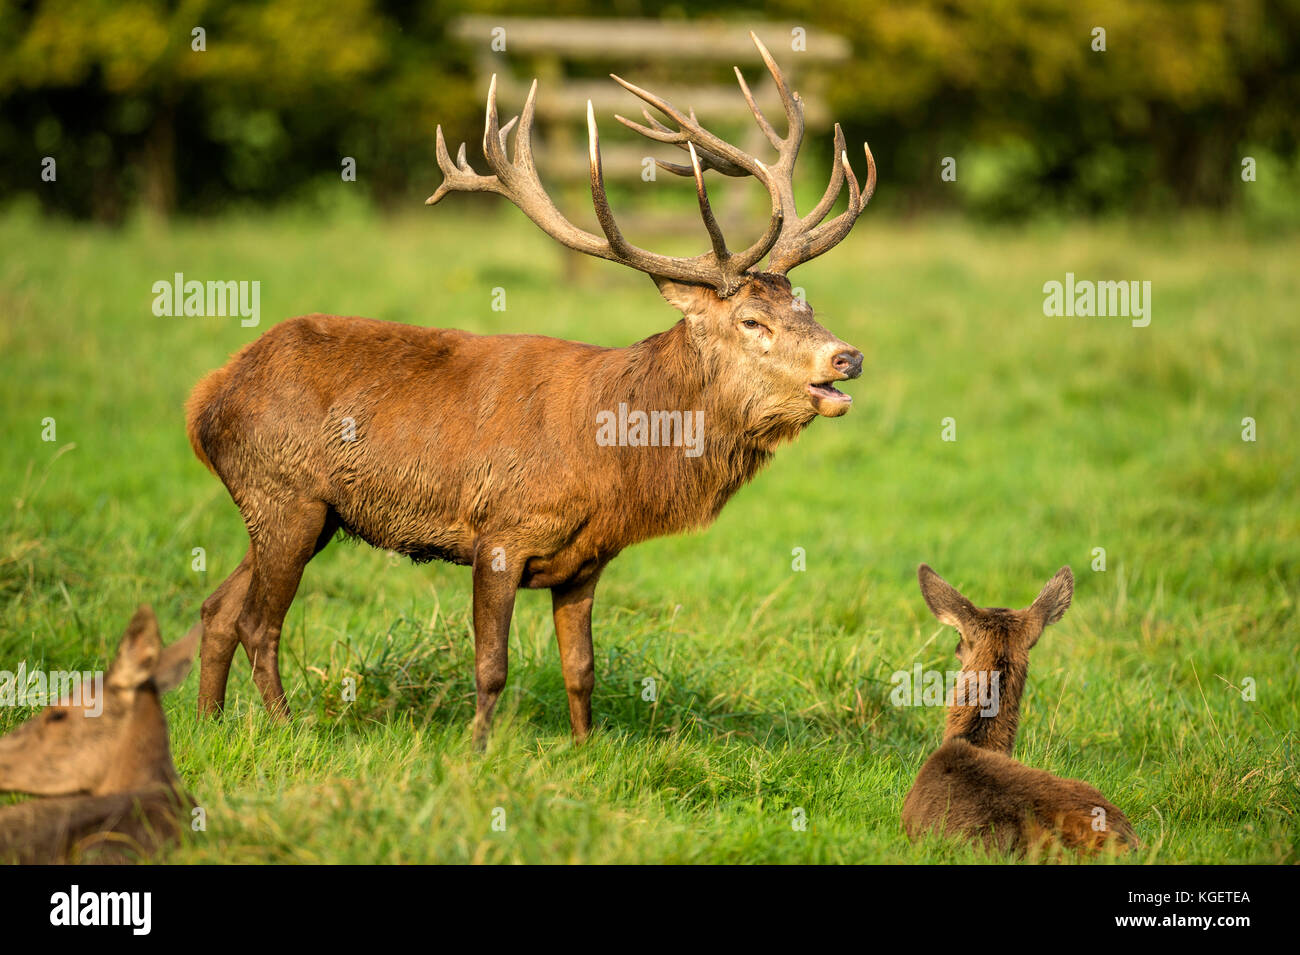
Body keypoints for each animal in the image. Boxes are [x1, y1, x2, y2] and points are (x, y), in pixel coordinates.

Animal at [185, 33, 874, 747]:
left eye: (806, 303)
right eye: (751, 320)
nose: (847, 357)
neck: (612, 460)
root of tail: (206, 399)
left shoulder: (586, 561)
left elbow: (582, 669)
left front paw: (584, 751)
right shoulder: (499, 533)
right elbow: (491, 665)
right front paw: (477, 750)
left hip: (306, 511)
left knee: (217, 606)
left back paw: (207, 722)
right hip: (283, 491)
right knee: (257, 621)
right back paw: (286, 727)